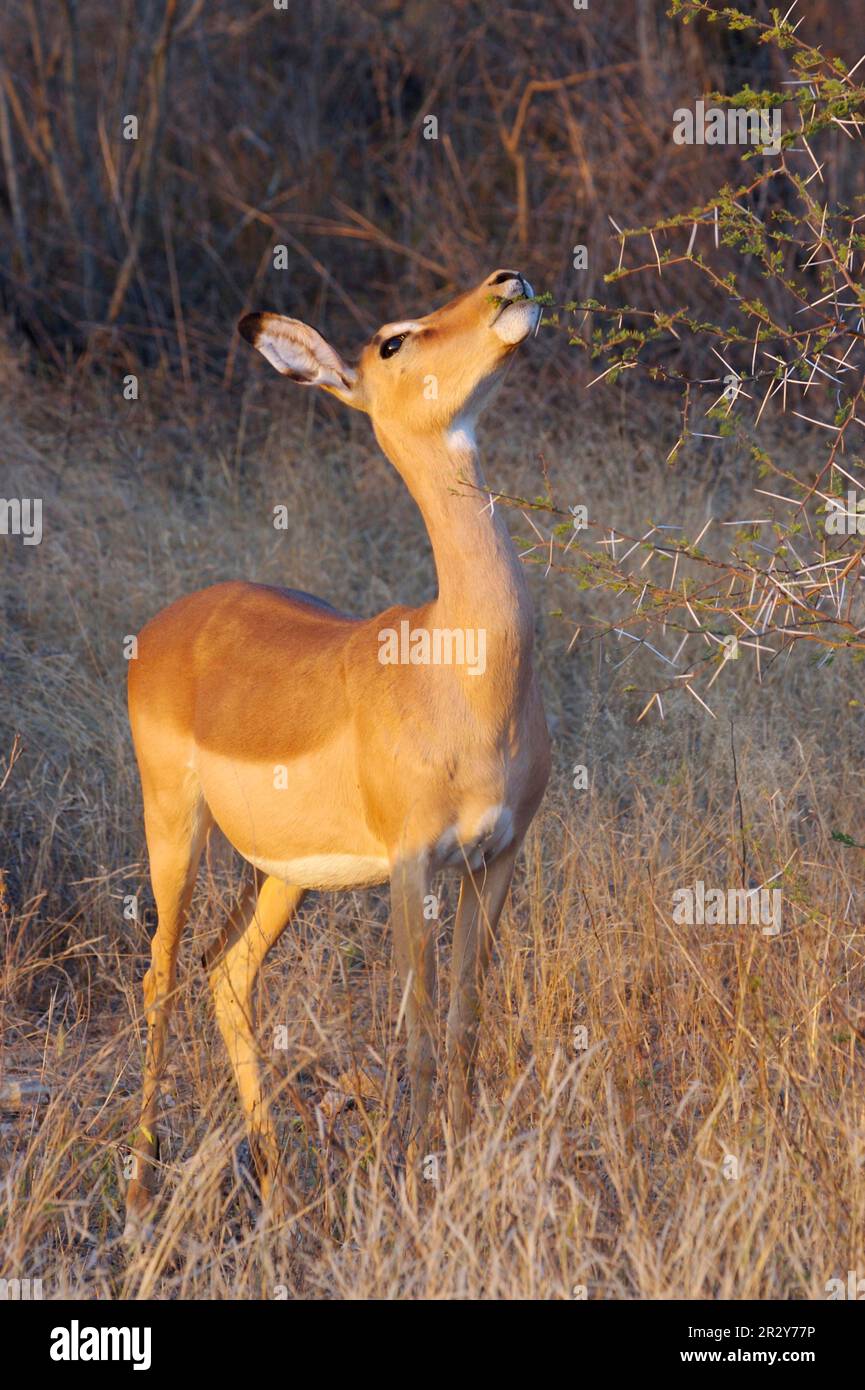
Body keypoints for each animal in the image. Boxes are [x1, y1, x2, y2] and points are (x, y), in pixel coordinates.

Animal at [124, 269, 550, 1239]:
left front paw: (459, 1177)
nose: (506, 283)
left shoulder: (497, 857)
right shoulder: (410, 864)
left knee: (225, 975)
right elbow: (420, 1031)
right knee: (161, 973)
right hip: (176, 827)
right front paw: (417, 1188)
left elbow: (466, 1022)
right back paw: (138, 1192)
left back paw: (282, 1191)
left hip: (285, 875)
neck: (459, 671)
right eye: (392, 341)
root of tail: (169, 623)